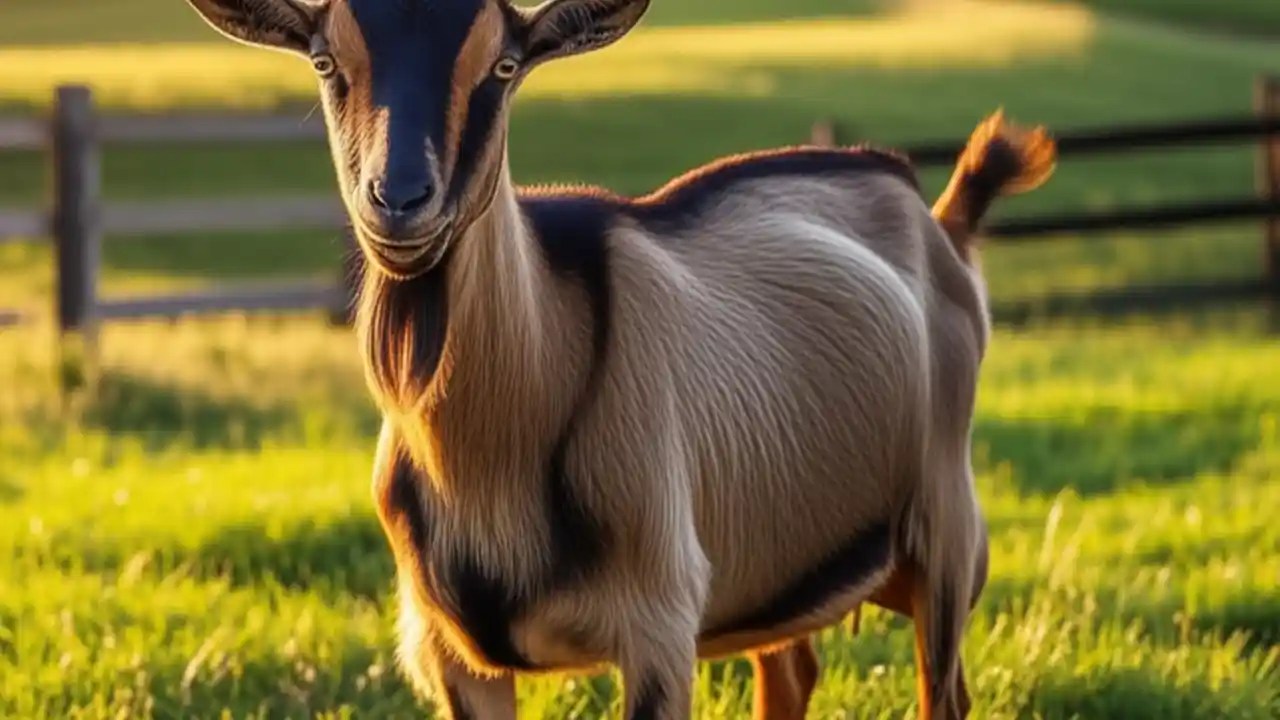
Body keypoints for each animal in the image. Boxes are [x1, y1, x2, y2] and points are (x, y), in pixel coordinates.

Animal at [184, 1, 1057, 717]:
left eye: (504, 65)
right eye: (326, 60)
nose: (399, 201)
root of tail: (938, 217)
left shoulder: (660, 625)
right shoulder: (451, 651)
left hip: (944, 534)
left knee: (942, 690)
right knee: (791, 674)